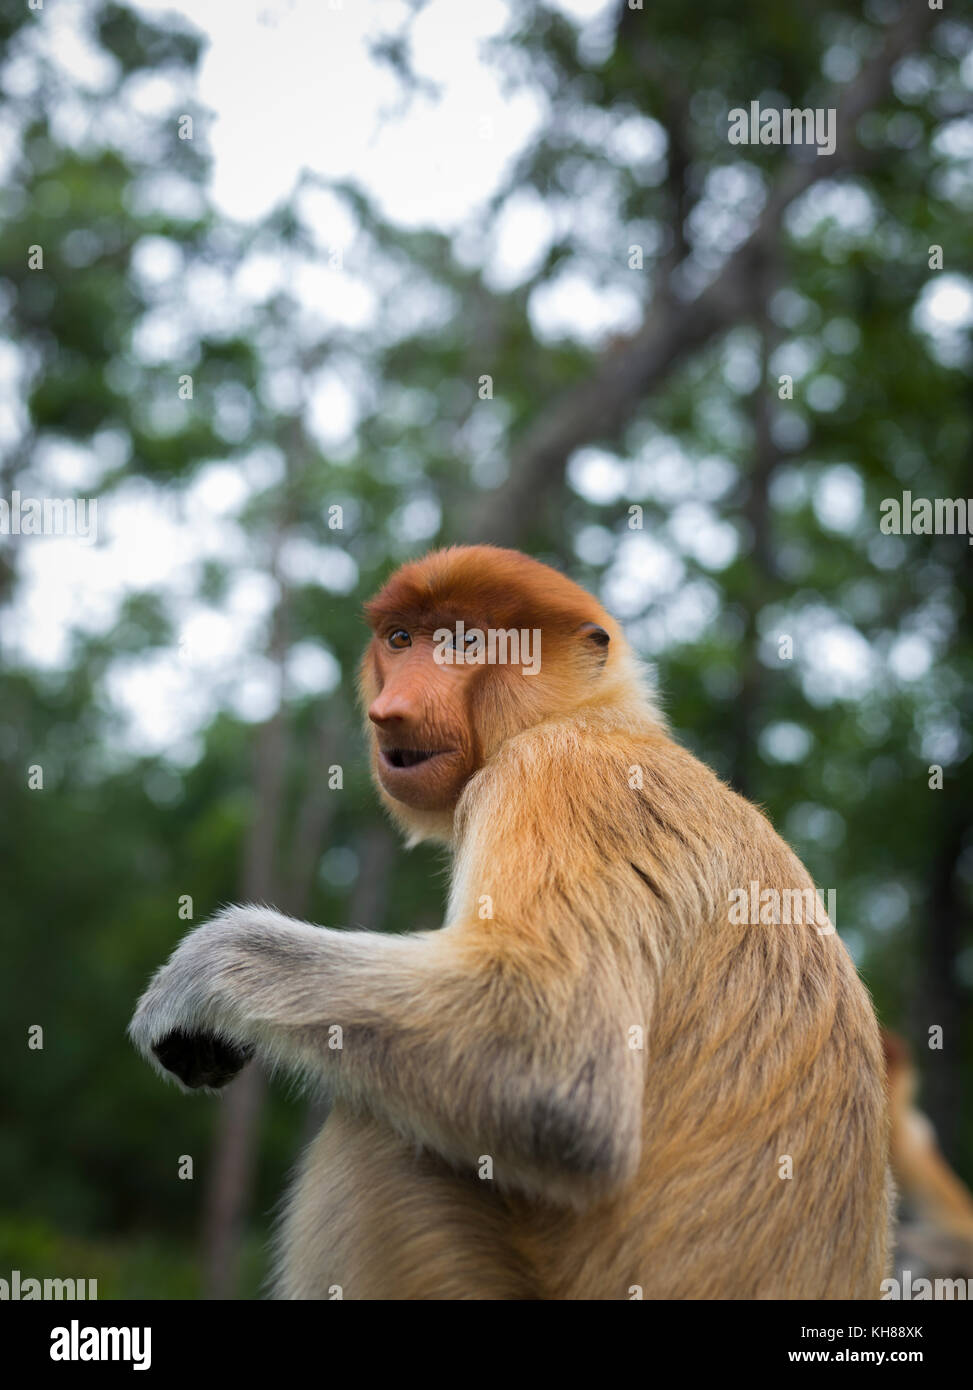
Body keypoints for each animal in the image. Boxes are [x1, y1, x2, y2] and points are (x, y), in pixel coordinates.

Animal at [130, 544, 890, 1299]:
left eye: (466, 643)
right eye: (400, 639)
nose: (391, 710)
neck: (596, 717)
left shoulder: (552, 775)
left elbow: (548, 1069)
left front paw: (197, 979)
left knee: (376, 1131)